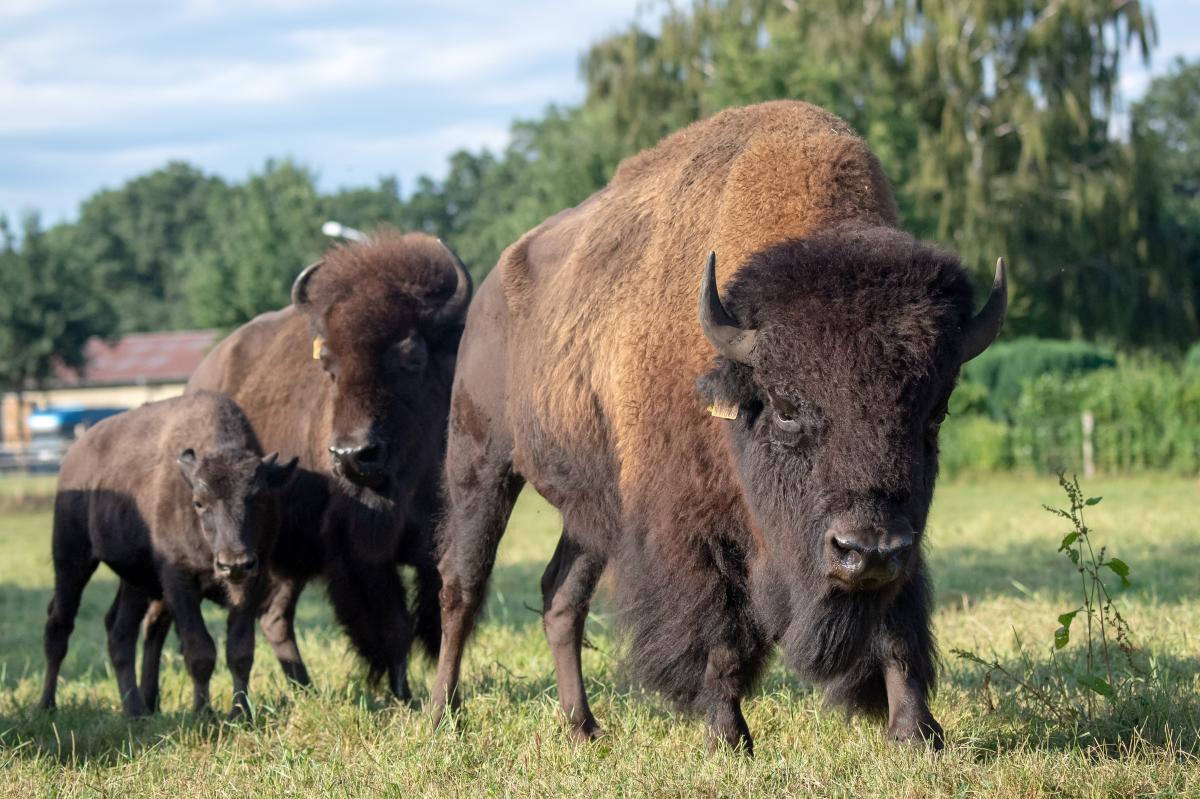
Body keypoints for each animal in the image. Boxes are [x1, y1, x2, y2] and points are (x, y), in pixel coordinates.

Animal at [39, 391, 297, 716]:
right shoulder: (179, 579)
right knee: (59, 625)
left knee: (120, 632)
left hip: (135, 580)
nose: (233, 563)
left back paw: (136, 711)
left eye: (261, 498)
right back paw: (47, 706)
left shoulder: (252, 582)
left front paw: (241, 713)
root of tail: (73, 456)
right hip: (72, 559)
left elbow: (240, 650)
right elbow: (200, 651)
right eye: (199, 502)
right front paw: (204, 715)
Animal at [432, 101, 1006, 751]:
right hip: (481, 465)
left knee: (561, 599)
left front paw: (917, 733)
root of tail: (486, 299)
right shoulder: (693, 530)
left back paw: (583, 727)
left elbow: (898, 630)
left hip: (593, 509)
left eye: (935, 412)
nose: (867, 549)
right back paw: (442, 715)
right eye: (785, 407)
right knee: (462, 584)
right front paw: (728, 737)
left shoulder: (901, 541)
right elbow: (722, 635)